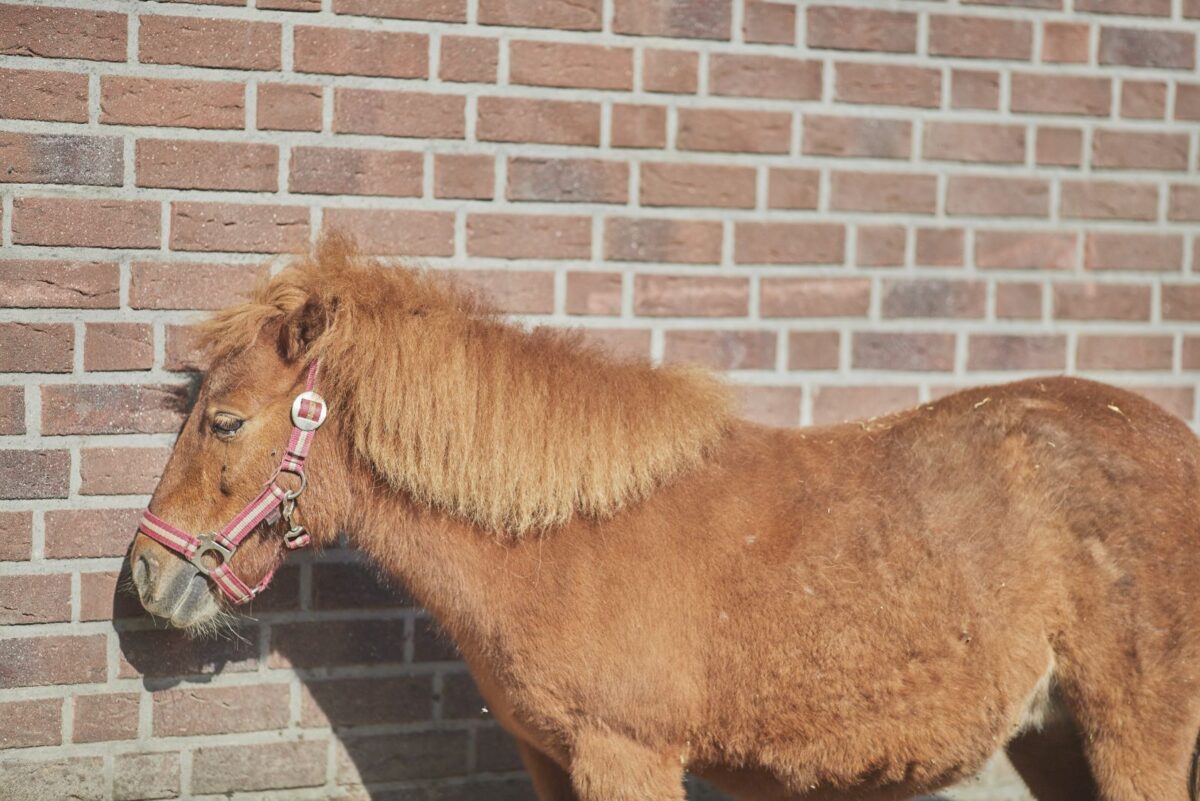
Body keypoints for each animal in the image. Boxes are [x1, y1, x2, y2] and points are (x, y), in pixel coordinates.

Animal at [128, 234, 1200, 801]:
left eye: (225, 420)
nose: (145, 572)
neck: (560, 542)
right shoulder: (549, 758)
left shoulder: (625, 757)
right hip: (1056, 736)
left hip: (1134, 735)